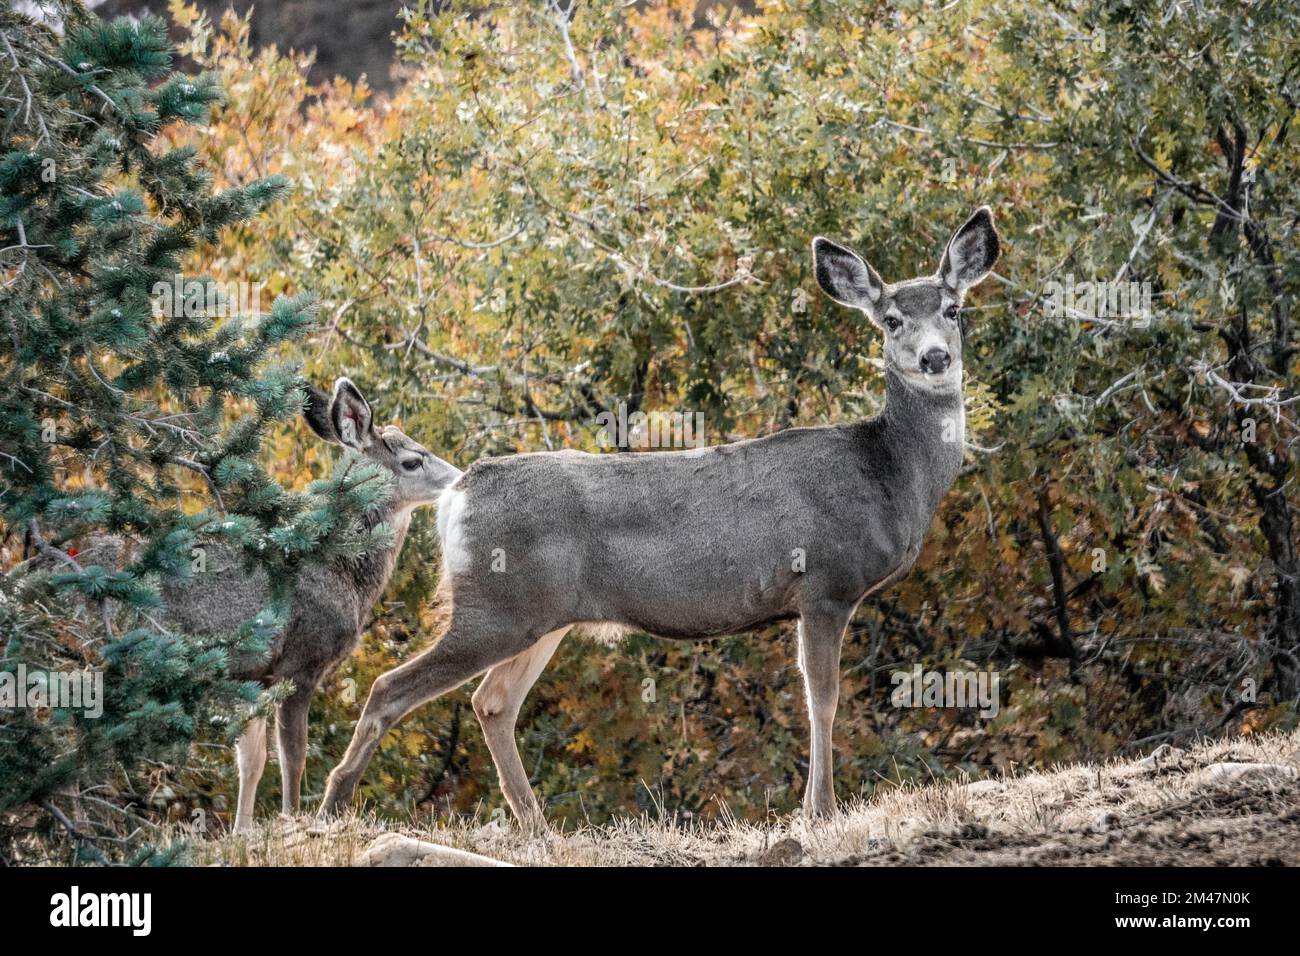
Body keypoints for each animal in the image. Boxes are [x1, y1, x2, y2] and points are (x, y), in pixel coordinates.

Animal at [158, 377, 461, 831]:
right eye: (412, 461)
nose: (461, 477)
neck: (339, 569)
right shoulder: (301, 661)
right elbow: (293, 756)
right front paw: (291, 818)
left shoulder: (253, 673)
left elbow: (252, 760)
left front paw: (243, 830)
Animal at [318, 207, 1000, 832]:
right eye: (891, 319)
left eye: (953, 309)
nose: (935, 358)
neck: (887, 473)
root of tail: (457, 494)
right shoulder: (825, 585)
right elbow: (822, 700)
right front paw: (820, 811)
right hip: (493, 606)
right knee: (391, 688)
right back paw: (331, 806)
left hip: (540, 616)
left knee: (492, 702)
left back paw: (536, 826)